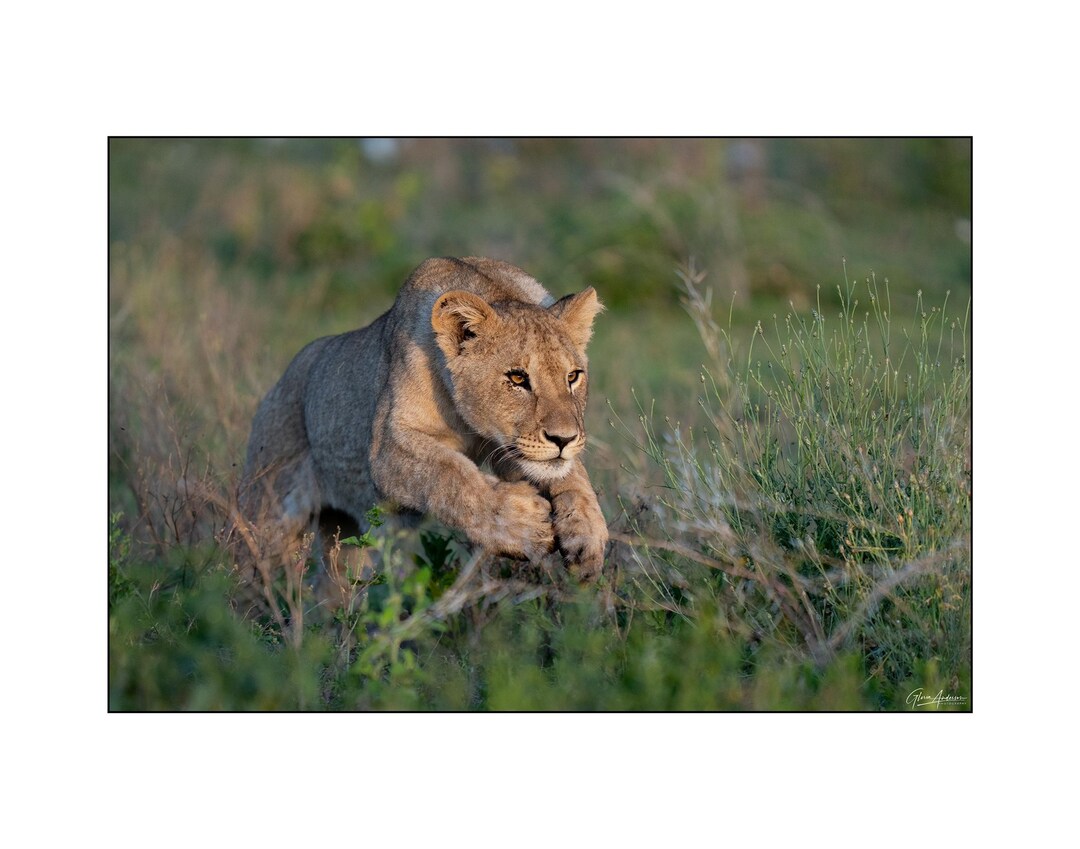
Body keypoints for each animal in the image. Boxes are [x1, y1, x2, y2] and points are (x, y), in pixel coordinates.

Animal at [238, 256, 609, 582]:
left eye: (573, 376)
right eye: (518, 378)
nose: (563, 439)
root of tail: (280, 382)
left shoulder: (510, 448)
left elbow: (572, 475)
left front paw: (586, 533)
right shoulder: (387, 447)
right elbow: (452, 474)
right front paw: (522, 523)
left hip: (346, 540)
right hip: (267, 513)